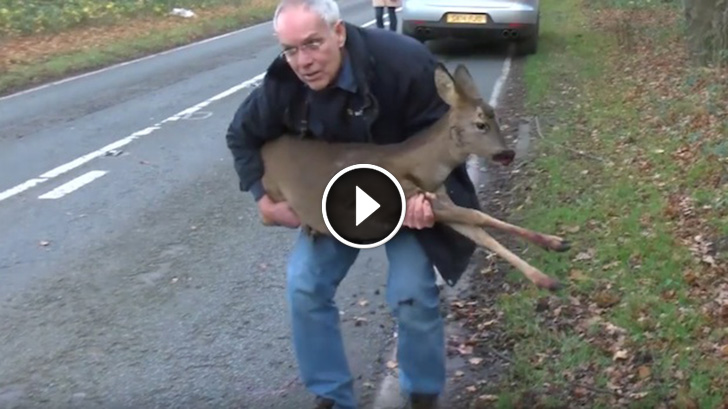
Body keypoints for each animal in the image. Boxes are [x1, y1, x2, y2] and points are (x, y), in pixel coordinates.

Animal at [257, 62, 570, 291]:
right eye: (480, 123)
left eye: (496, 117)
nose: (507, 153)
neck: (424, 169)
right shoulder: (405, 199)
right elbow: (477, 216)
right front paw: (547, 277)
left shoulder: (436, 199)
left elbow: (479, 228)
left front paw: (554, 245)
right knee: (267, 216)